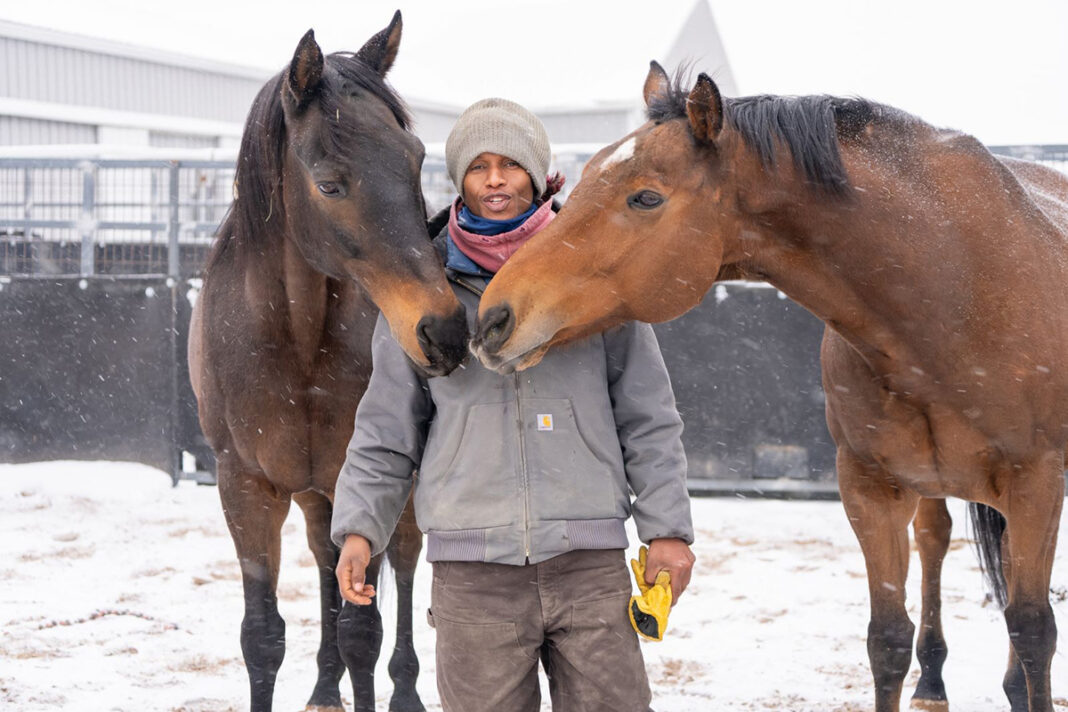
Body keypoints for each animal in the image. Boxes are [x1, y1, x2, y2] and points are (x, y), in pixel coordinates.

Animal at [188, 13, 467, 712]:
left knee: (404, 563)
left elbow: (362, 632)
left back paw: (404, 692)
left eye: (416, 160)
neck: (294, 337)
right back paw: (321, 687)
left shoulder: (356, 474)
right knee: (322, 560)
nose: (446, 331)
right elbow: (262, 636)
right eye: (329, 183)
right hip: (315, 494)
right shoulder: (245, 487)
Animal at [470, 61, 1067, 712]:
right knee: (936, 541)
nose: (492, 318)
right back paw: (935, 682)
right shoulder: (870, 489)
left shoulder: (1037, 484)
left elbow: (1033, 630)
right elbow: (888, 637)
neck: (953, 287)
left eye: (646, 196)